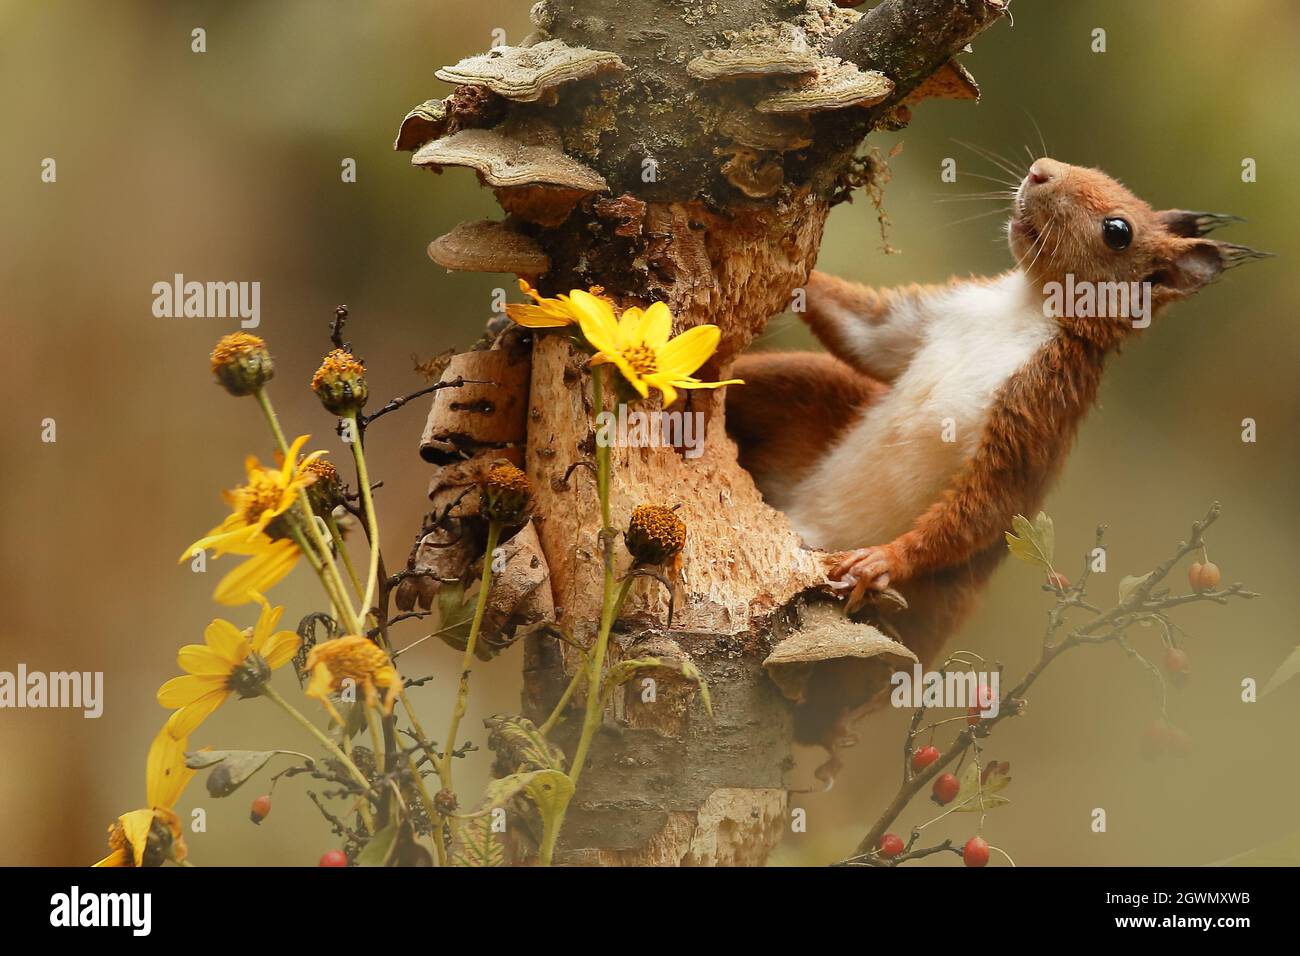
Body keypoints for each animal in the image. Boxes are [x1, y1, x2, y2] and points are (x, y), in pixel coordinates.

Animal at [728, 157, 1268, 676]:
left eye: (1118, 231)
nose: (1040, 170)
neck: (1025, 310)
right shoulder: (932, 316)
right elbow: (863, 331)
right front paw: (783, 269)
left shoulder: (1037, 408)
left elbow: (991, 501)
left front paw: (884, 559)